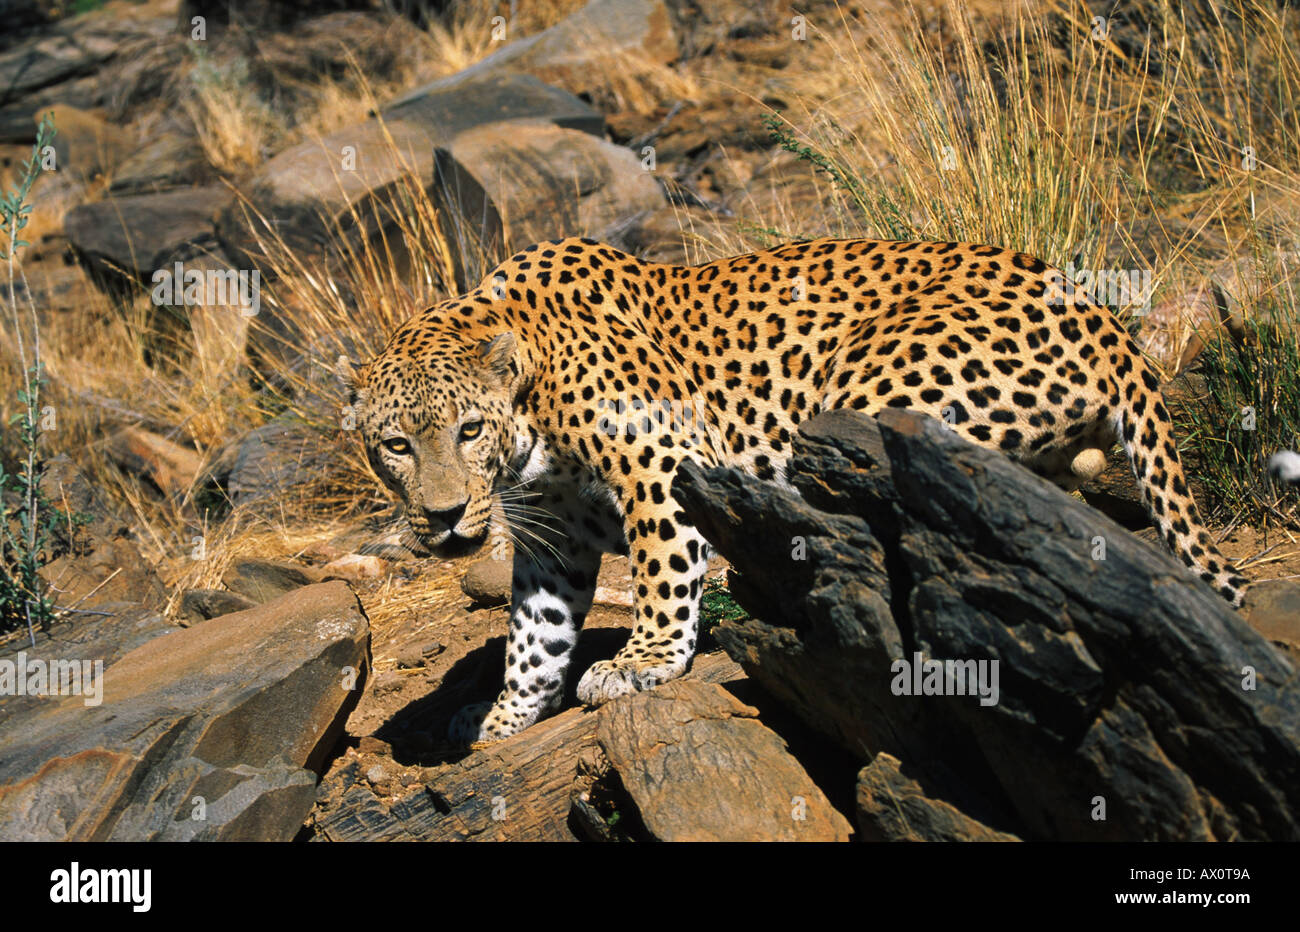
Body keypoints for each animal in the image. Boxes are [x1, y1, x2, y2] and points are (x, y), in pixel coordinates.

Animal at [346, 236, 1249, 744]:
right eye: (396, 446)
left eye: (467, 430)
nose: (444, 518)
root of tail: (1106, 320)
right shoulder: (551, 539)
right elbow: (533, 636)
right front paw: (504, 717)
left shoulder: (661, 456)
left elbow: (662, 570)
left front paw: (642, 662)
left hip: (864, 386)